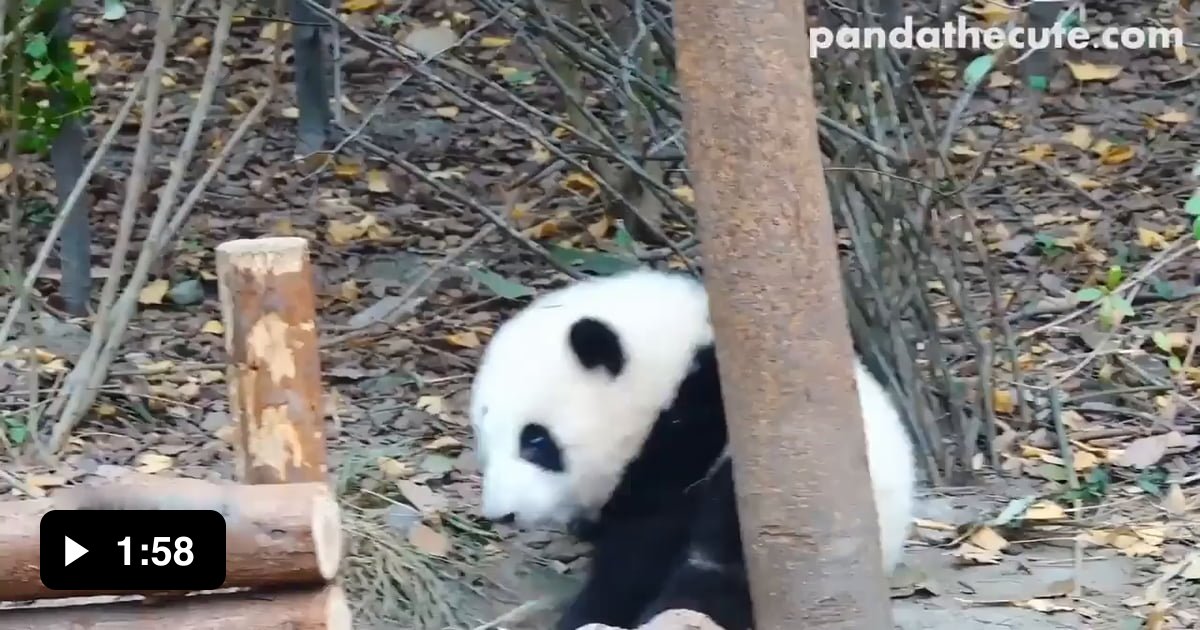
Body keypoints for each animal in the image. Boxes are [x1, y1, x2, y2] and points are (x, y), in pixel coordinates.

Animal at [469, 268, 916, 630]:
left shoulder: (694, 433)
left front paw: (591, 610)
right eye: (484, 441)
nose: (502, 514)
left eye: (535, 441)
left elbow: (643, 549)